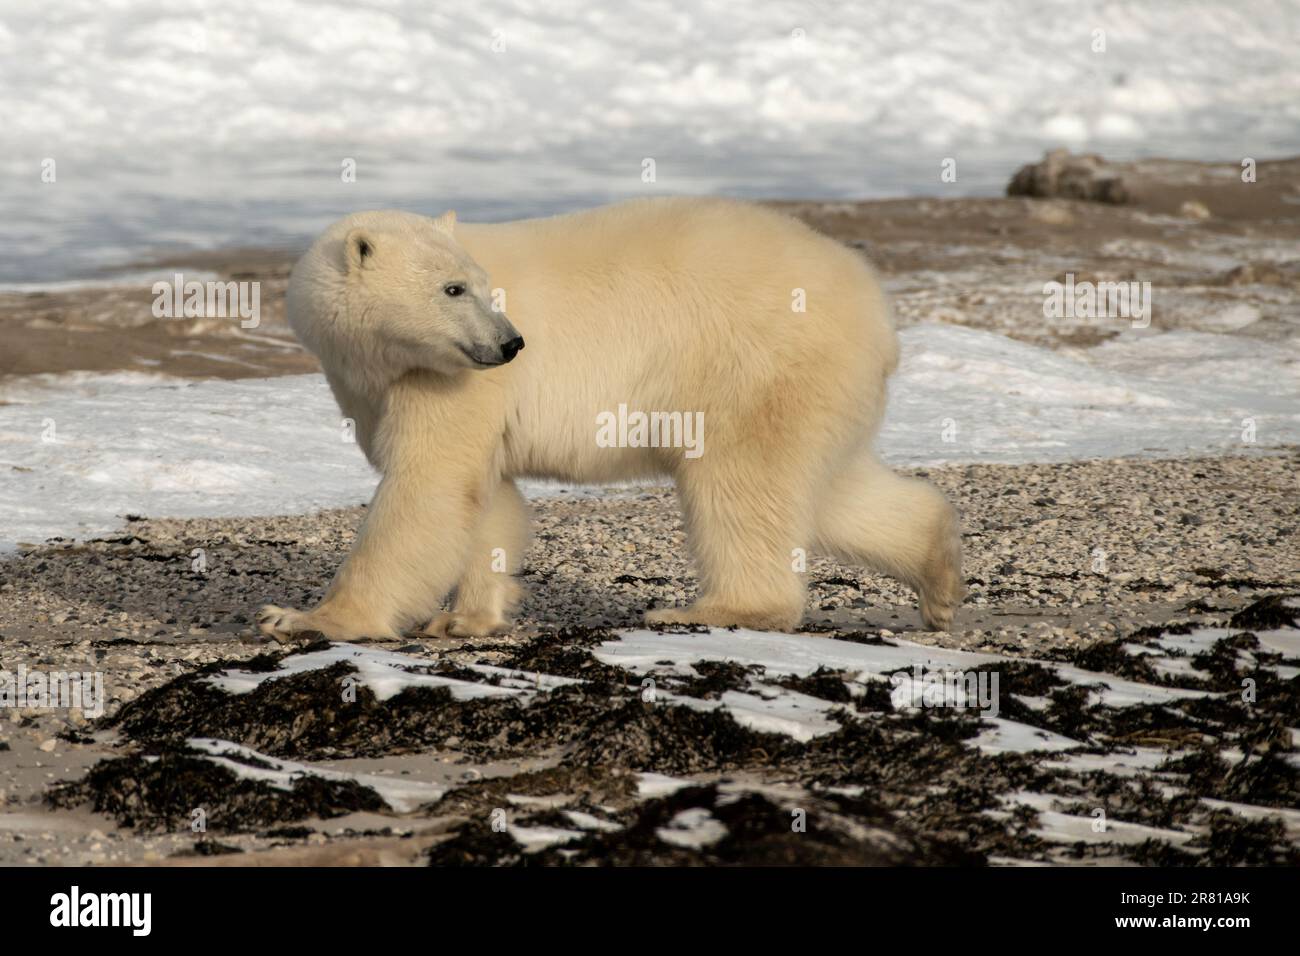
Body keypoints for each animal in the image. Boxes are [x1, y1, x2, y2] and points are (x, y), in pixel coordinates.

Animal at [258, 198, 964, 642]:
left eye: (480, 285)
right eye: (454, 289)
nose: (512, 343)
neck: (381, 356)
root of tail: (879, 313)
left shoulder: (446, 382)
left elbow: (425, 490)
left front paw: (305, 619)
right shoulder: (395, 383)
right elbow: (482, 496)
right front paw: (465, 618)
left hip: (755, 365)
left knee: (741, 483)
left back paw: (708, 611)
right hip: (821, 389)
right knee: (832, 487)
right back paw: (938, 577)